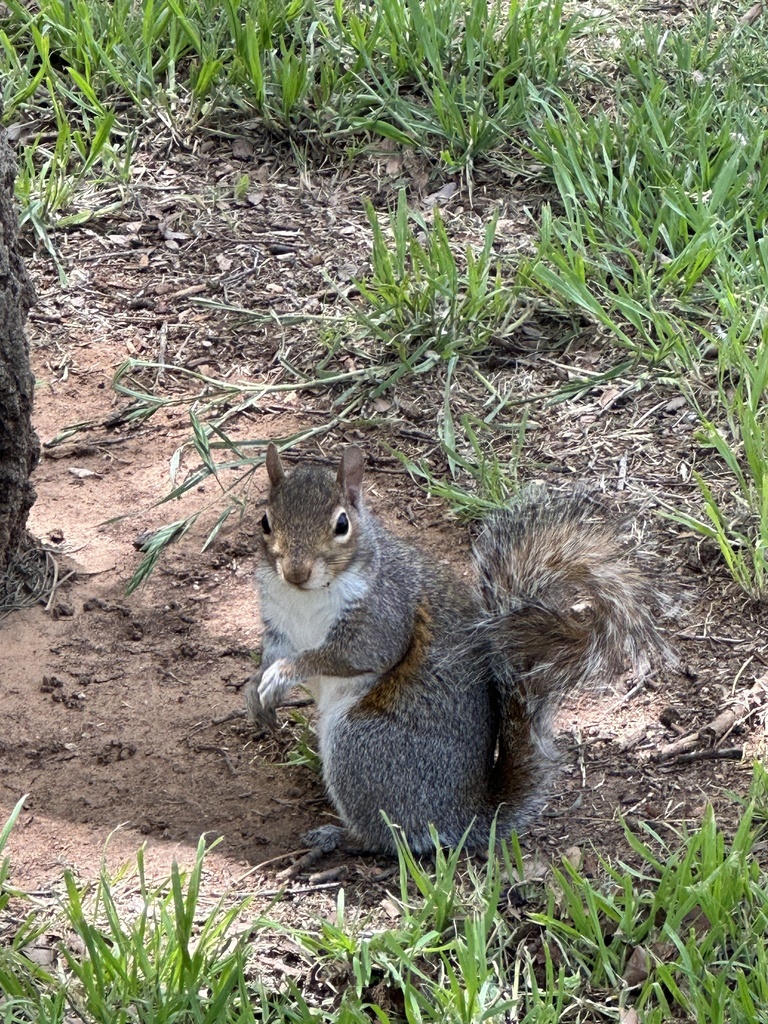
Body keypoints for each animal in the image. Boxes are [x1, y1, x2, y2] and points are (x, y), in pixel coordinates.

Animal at [245, 443, 670, 856]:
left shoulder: (383, 613)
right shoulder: (278, 624)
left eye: (342, 525)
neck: (306, 597)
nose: (296, 572)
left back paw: (339, 837)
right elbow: (272, 652)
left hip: (362, 746)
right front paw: (255, 691)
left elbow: (351, 655)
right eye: (265, 521)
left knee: (389, 839)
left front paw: (284, 674)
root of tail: (464, 816)